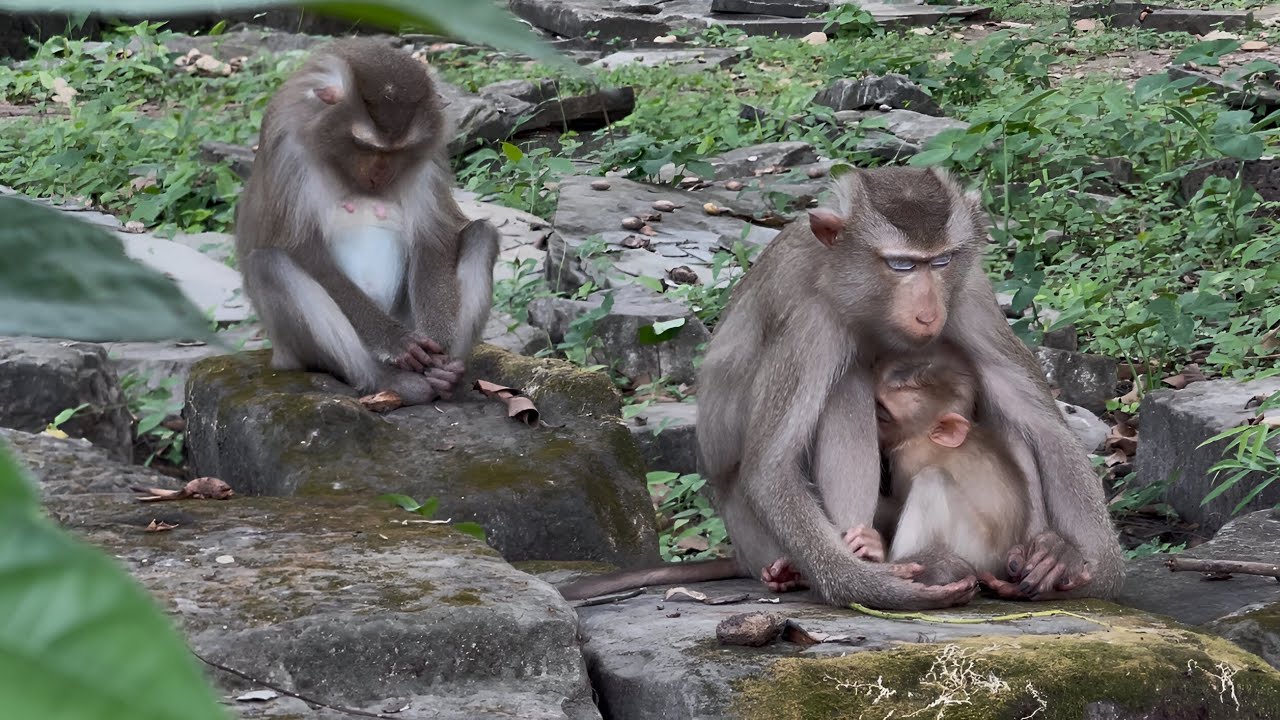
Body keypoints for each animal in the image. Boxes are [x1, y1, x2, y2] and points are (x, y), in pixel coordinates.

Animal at [234, 38, 500, 405]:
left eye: (396, 151)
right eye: (364, 145)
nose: (379, 174)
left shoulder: (428, 155)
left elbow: (434, 238)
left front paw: (441, 345)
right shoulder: (285, 147)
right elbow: (304, 250)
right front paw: (396, 342)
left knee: (481, 236)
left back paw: (448, 378)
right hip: (293, 352)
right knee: (268, 264)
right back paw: (387, 380)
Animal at [559, 168, 1122, 608]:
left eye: (940, 262)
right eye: (901, 265)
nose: (927, 312)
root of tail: (741, 553)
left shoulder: (969, 296)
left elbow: (1041, 422)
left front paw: (1069, 558)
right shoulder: (811, 322)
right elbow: (770, 467)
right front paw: (876, 588)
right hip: (755, 535)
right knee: (844, 387)